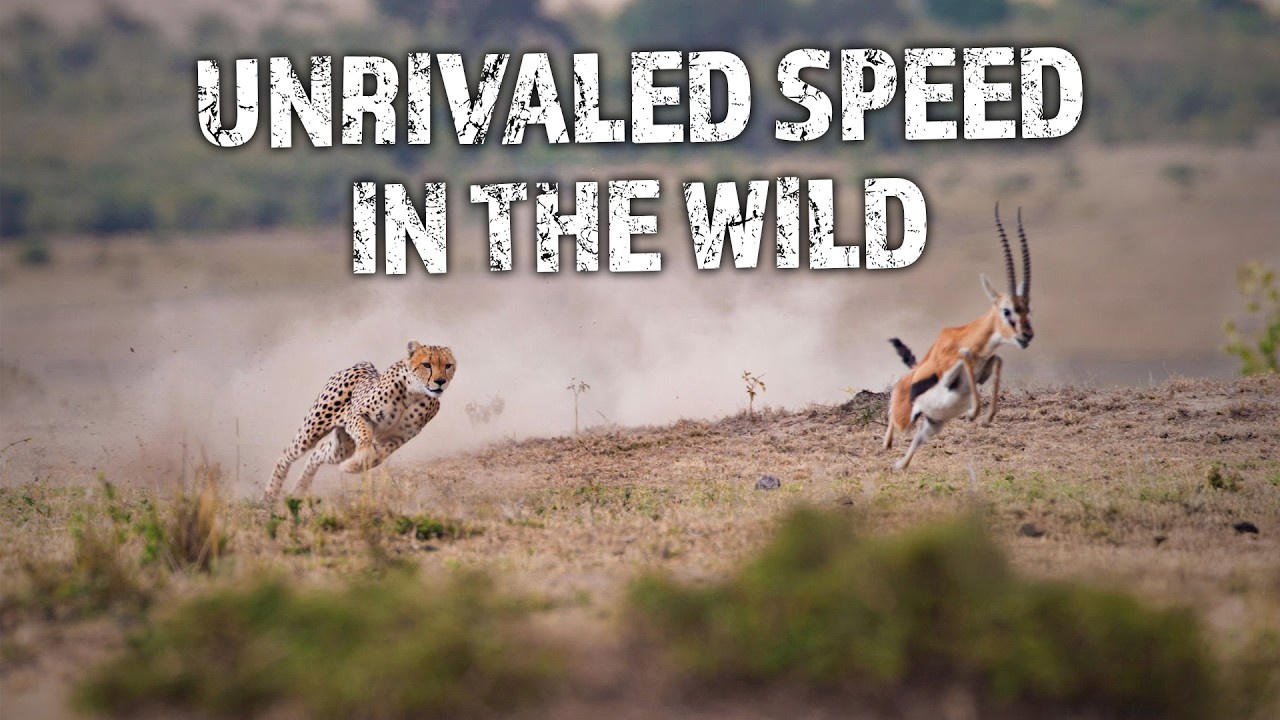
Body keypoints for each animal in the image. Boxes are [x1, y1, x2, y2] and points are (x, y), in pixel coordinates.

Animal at [263, 340, 456, 503]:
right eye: (426, 364)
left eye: (448, 365)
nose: (440, 381)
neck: (415, 393)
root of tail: (362, 364)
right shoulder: (357, 414)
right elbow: (364, 435)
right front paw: (363, 452)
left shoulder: (397, 437)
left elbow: (378, 456)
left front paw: (353, 465)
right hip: (313, 429)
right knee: (287, 454)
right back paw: (270, 494)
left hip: (341, 448)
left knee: (318, 453)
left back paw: (300, 489)